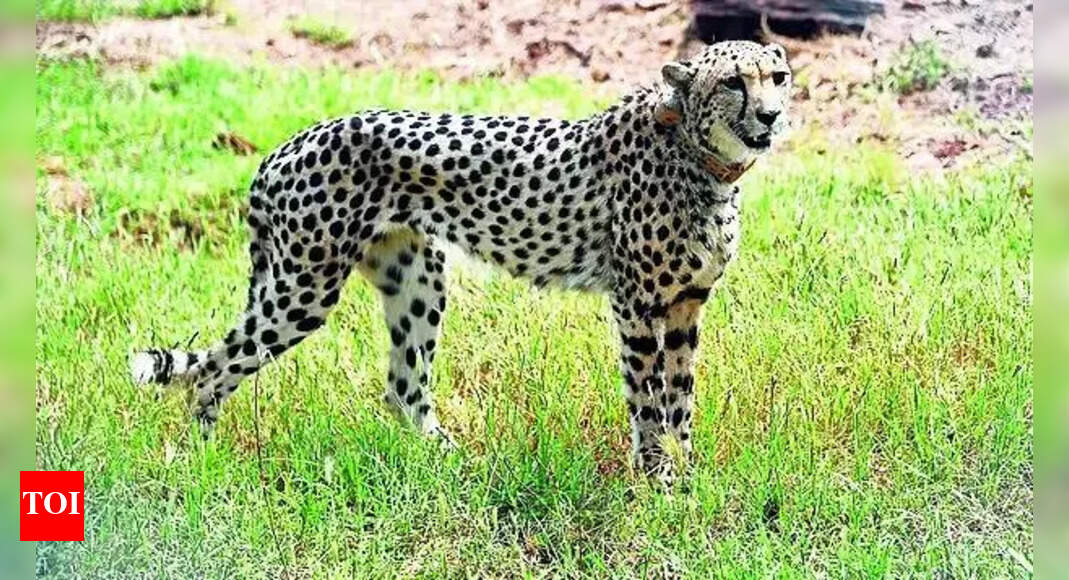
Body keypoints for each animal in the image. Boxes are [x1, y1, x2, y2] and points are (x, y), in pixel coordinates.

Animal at [131, 40, 792, 482]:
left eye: (778, 76)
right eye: (734, 83)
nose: (771, 114)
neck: (703, 160)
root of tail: (283, 146)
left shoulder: (685, 304)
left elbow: (680, 398)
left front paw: (689, 475)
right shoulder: (636, 304)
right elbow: (649, 400)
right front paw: (659, 480)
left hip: (417, 279)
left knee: (402, 387)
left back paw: (452, 462)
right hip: (304, 288)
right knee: (214, 370)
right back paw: (200, 461)